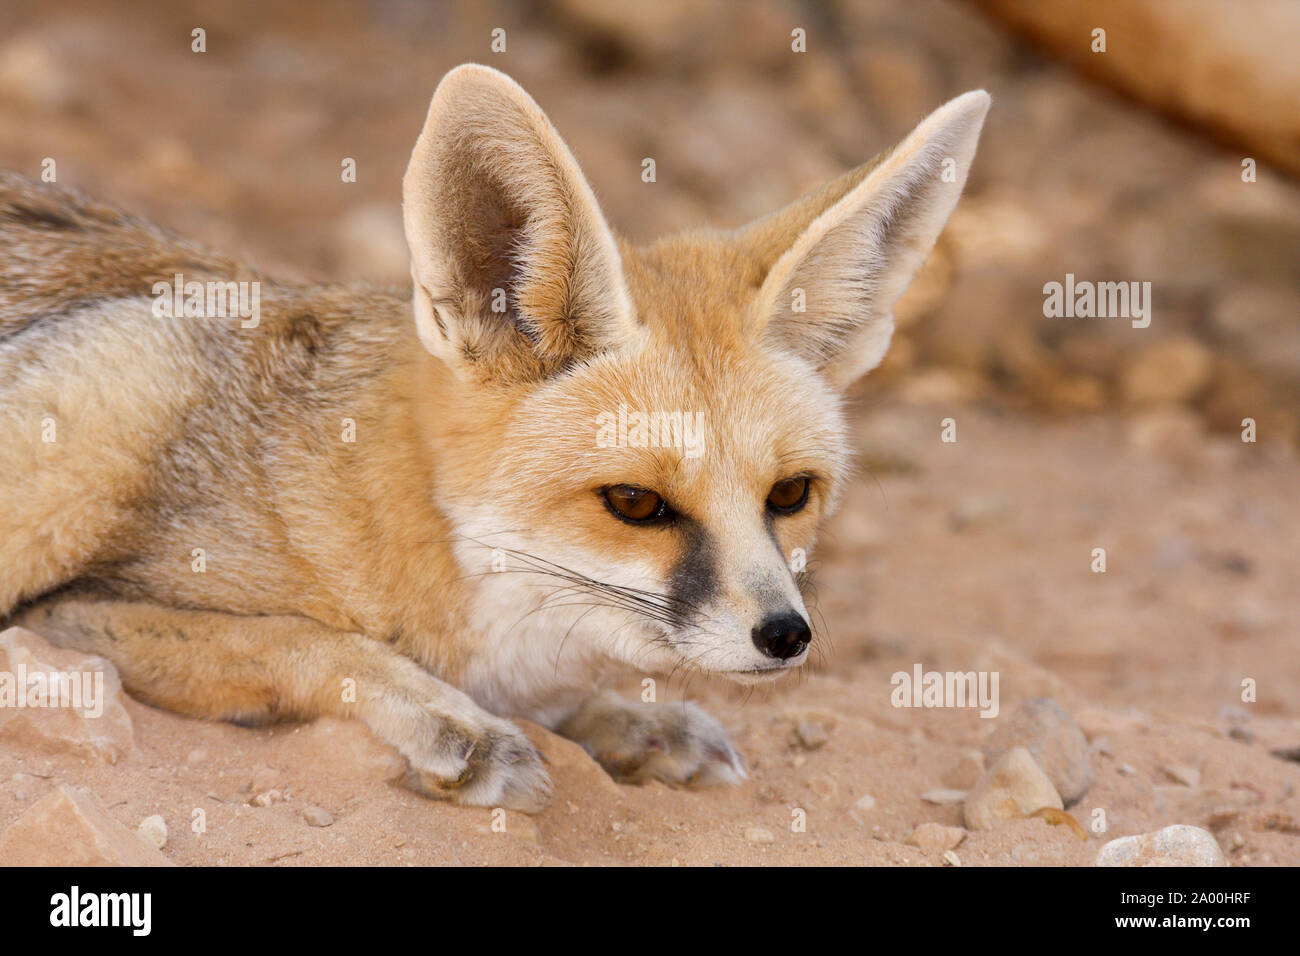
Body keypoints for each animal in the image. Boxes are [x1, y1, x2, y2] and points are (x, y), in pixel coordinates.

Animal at [0, 65, 988, 811]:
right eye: (635, 503)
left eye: (790, 495)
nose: (785, 635)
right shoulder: (75, 606)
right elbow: (302, 640)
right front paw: (456, 725)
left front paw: (624, 719)